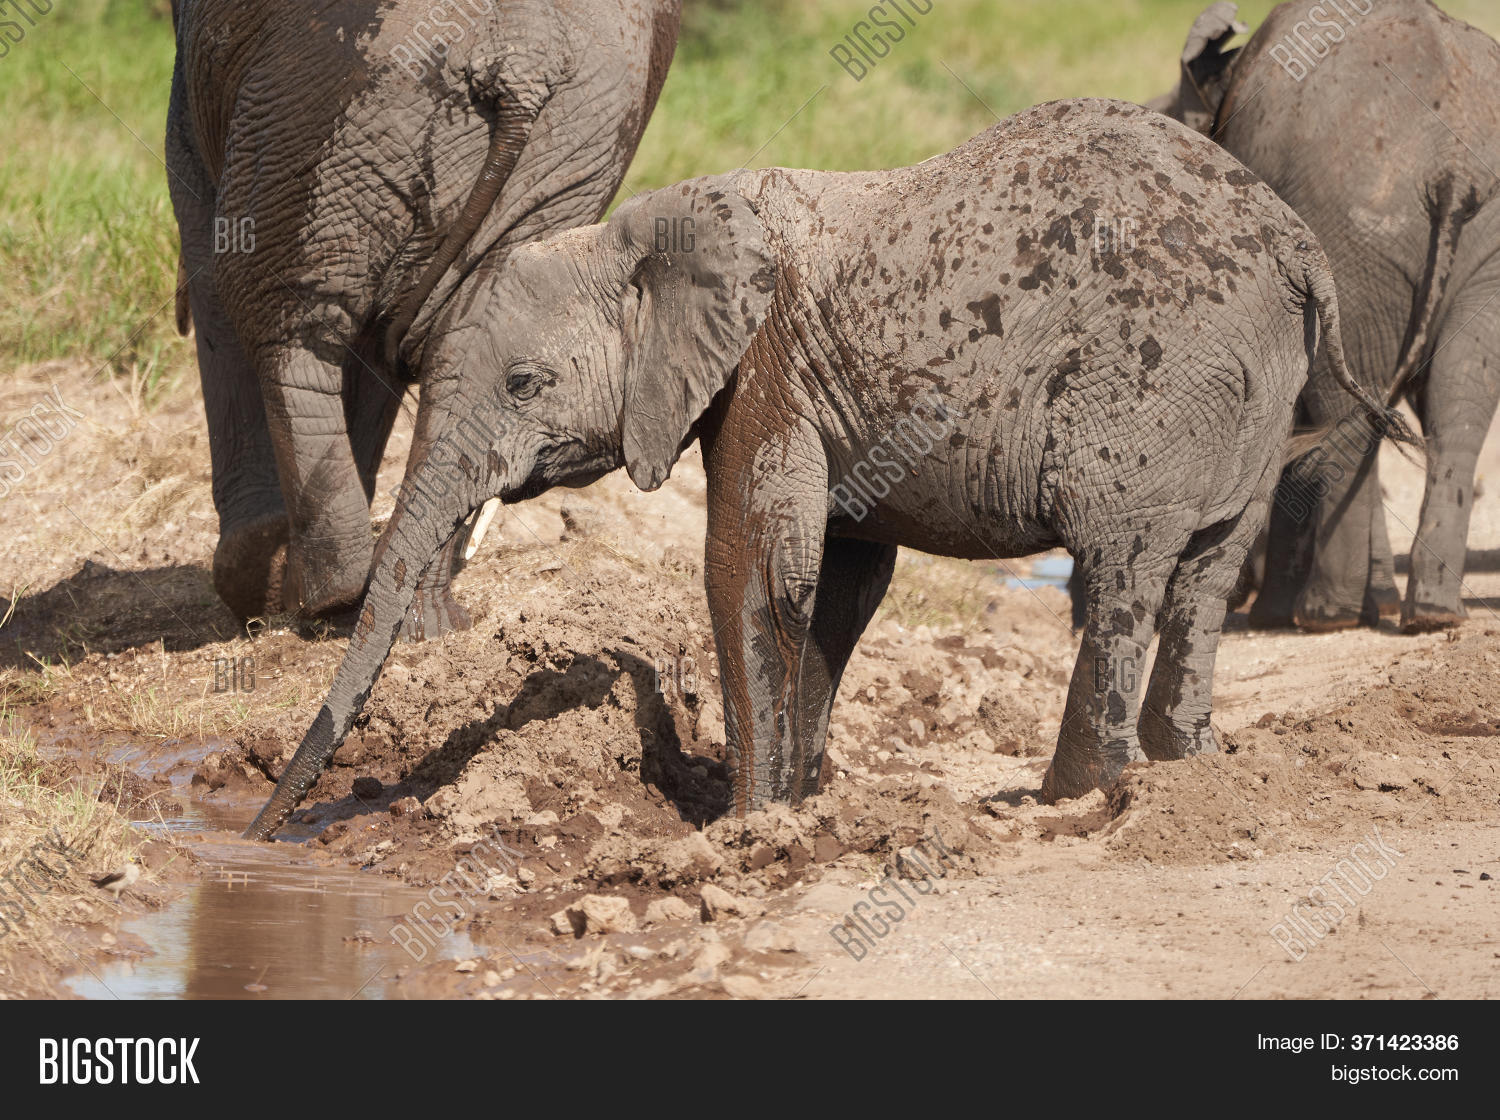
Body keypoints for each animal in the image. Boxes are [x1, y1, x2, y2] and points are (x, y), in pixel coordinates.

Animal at [166, 0, 681, 638]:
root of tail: (523, 59)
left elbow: (210, 263)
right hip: (571, 142)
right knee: (464, 345)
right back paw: (414, 619)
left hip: (334, 102)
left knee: (287, 320)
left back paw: (311, 598)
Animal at [243, 98, 1413, 840]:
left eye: (526, 385)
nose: (259, 831)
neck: (643, 229)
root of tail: (1295, 241)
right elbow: (841, 585)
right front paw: (803, 806)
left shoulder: (766, 364)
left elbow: (752, 568)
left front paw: (742, 827)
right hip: (1255, 386)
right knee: (1207, 573)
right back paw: (1183, 775)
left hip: (1161, 375)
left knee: (1125, 565)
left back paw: (1074, 800)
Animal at [1150, 0, 1500, 632]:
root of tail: (1452, 165)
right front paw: (1377, 602)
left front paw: (1276, 613)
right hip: (1458, 241)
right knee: (1456, 400)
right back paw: (1429, 613)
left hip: (1352, 232)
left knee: (1352, 411)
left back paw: (1324, 614)